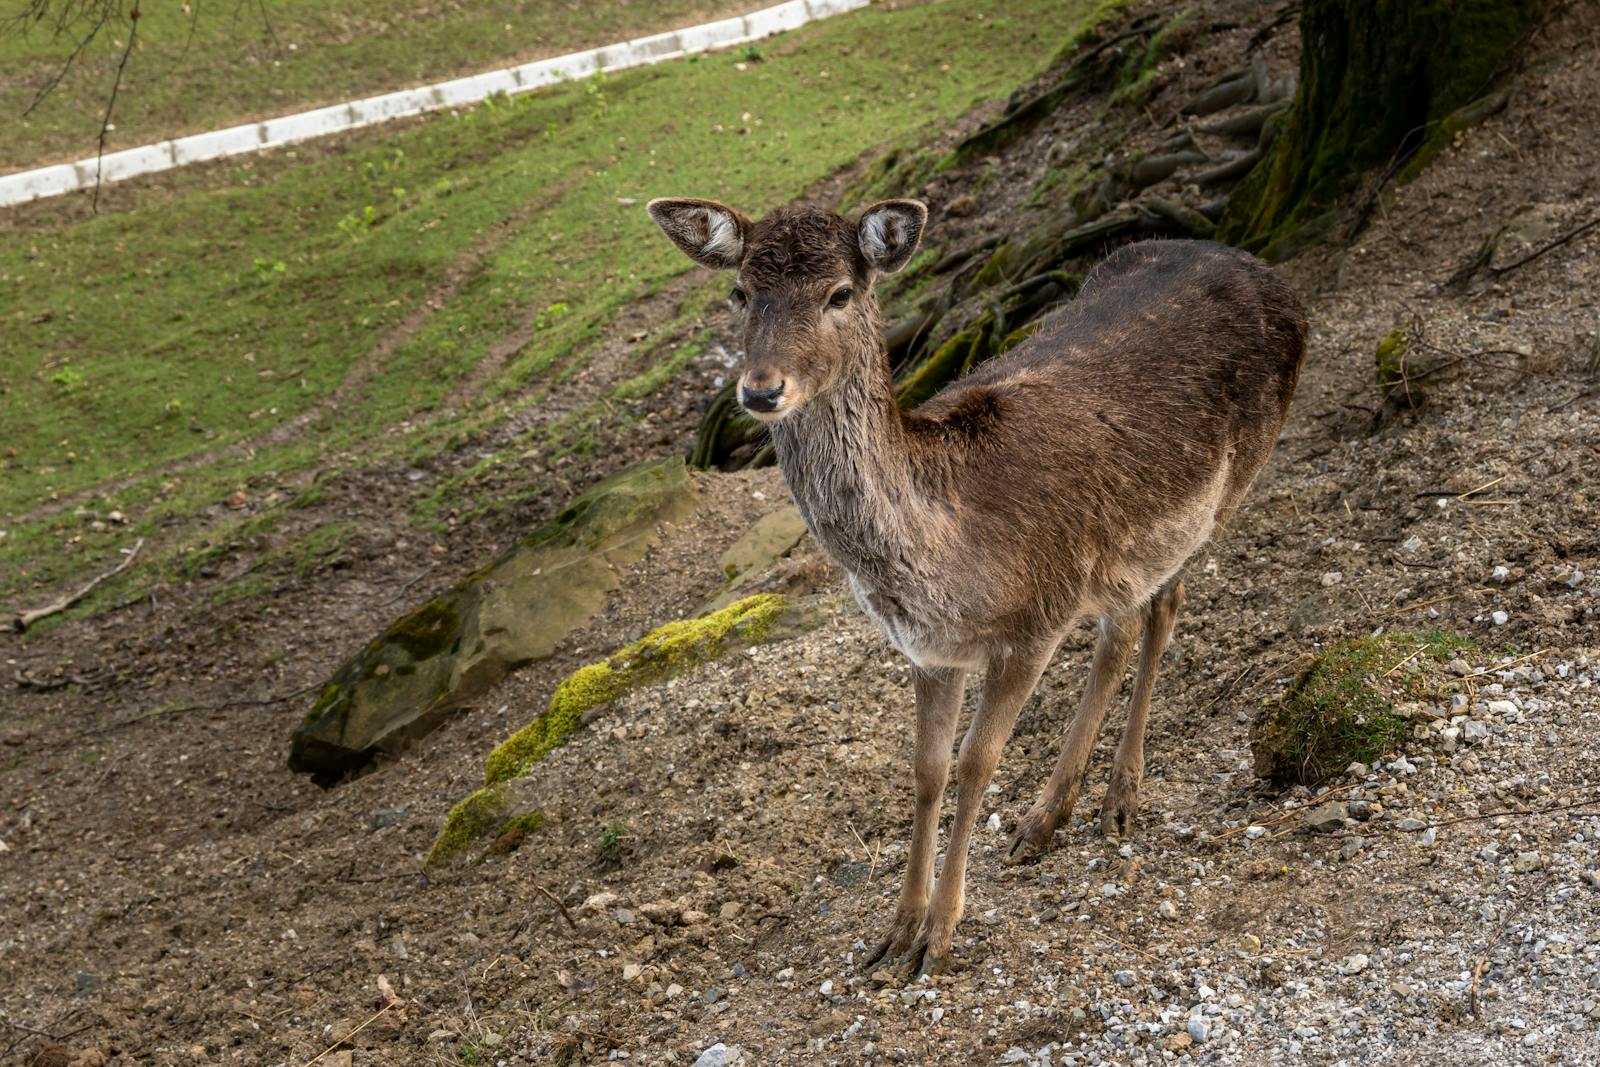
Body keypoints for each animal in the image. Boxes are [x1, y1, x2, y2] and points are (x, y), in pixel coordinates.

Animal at [647, 195, 1306, 977]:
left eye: (840, 292)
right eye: (740, 291)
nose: (760, 389)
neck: (944, 557)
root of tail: (1266, 271)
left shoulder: (1034, 624)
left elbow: (976, 762)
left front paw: (939, 936)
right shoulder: (930, 650)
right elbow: (927, 769)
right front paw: (895, 932)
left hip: (1225, 489)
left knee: (1164, 607)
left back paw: (1119, 796)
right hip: (1125, 548)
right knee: (1120, 626)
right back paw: (1046, 818)